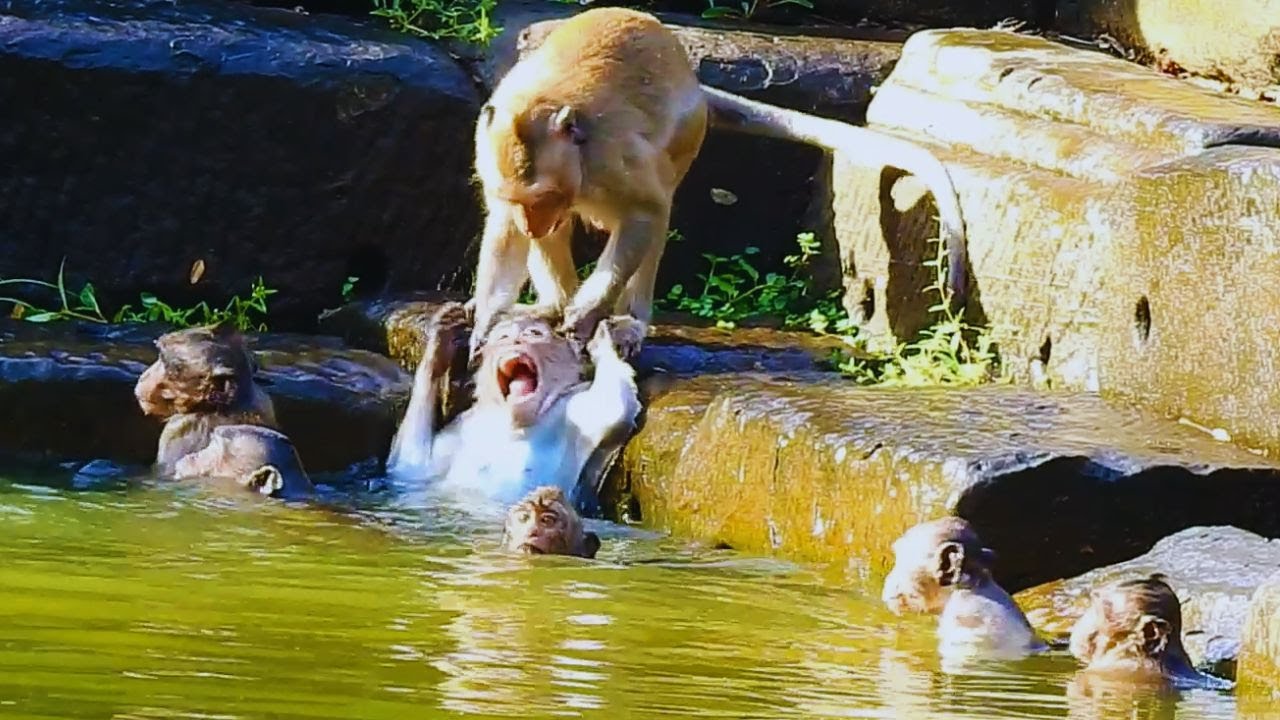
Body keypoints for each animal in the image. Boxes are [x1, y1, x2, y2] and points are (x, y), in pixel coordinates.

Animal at [385, 301, 640, 508]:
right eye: (504, 338)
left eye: (534, 333)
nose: (517, 340)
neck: (514, 422)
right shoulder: (462, 426)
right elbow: (413, 469)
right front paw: (440, 339)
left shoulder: (575, 405)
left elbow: (615, 408)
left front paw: (606, 334)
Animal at [469, 6, 968, 359]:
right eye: (520, 200)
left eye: (545, 197)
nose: (534, 221)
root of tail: (693, 80)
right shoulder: (491, 158)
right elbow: (506, 231)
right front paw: (485, 324)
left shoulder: (613, 159)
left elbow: (646, 210)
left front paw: (586, 312)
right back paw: (552, 305)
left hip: (687, 137)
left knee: (656, 209)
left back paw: (626, 321)